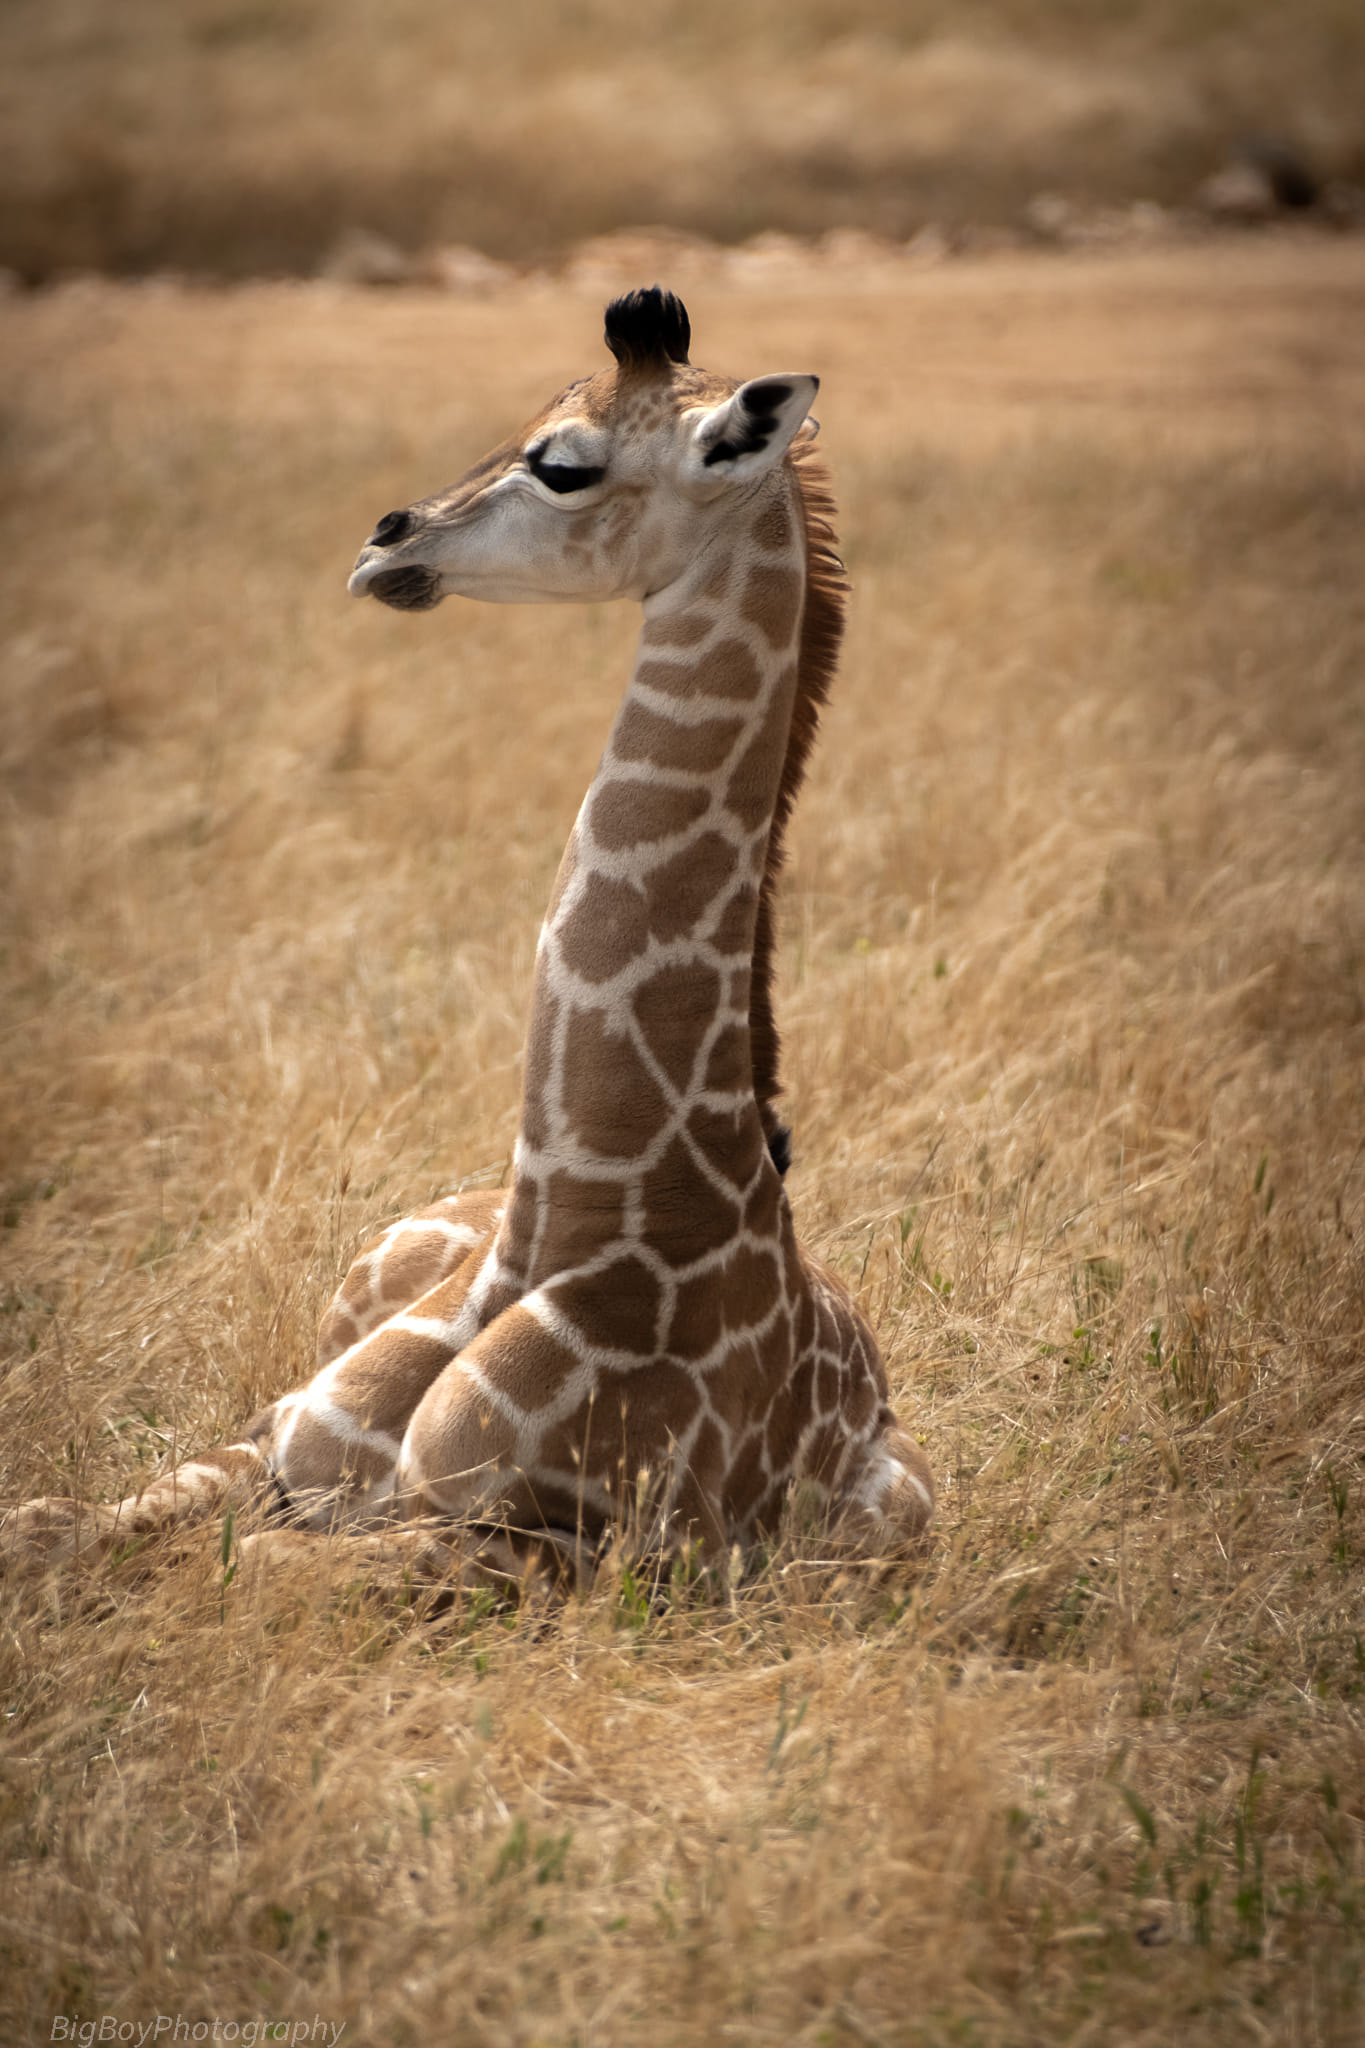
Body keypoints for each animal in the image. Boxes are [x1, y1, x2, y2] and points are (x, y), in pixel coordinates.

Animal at [1, 289, 934, 1593]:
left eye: (562, 463)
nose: (382, 542)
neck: (581, 1201)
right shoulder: (281, 1436)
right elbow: (50, 1518)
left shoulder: (549, 1540)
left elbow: (249, 1562)